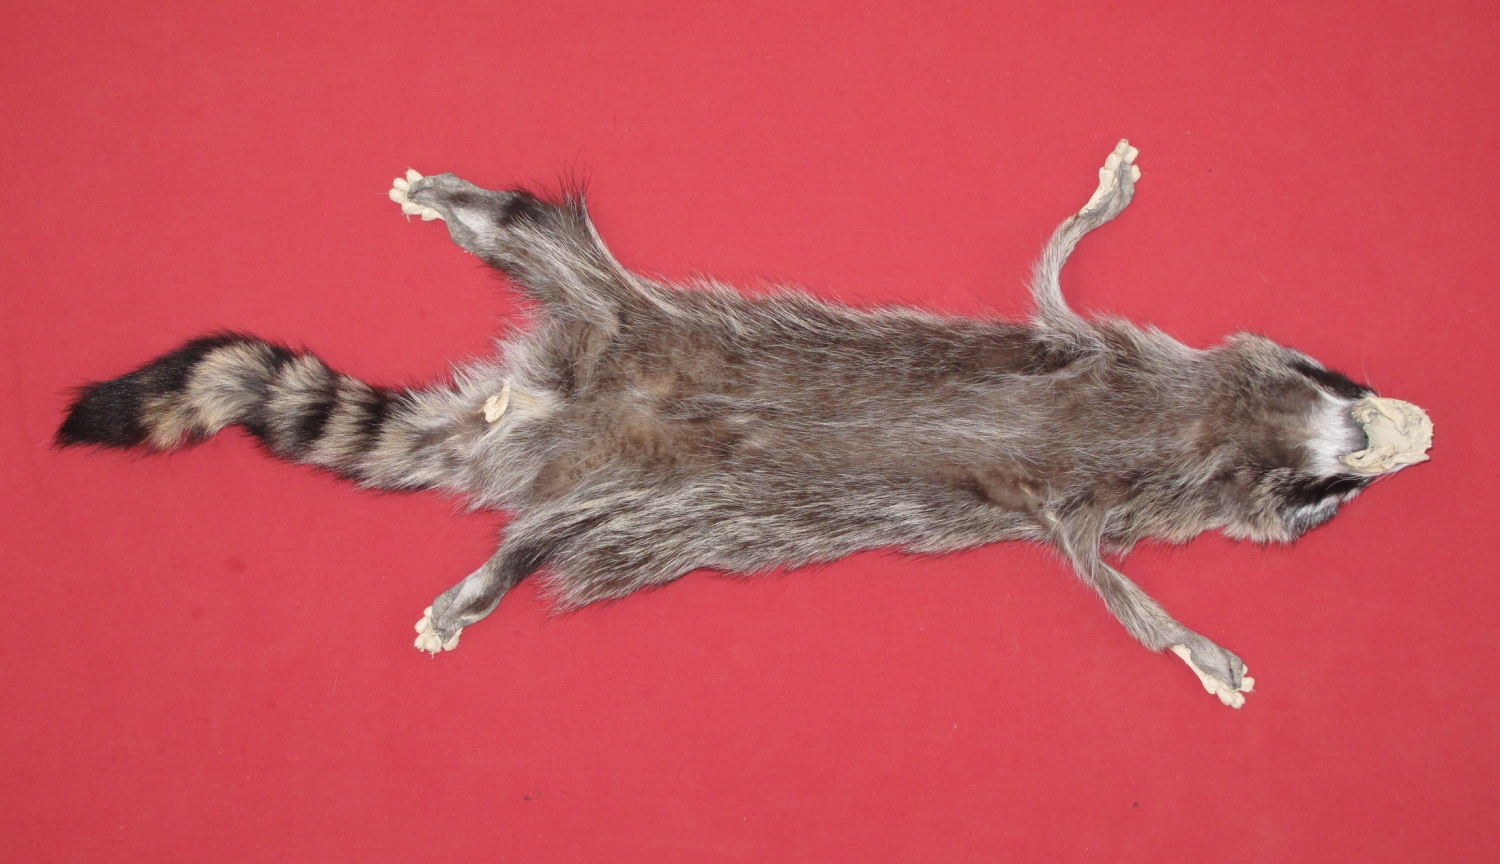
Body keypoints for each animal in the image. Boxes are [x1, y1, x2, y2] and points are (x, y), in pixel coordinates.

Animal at [57, 141, 1432, 707]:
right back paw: (473, 213)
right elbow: (1058, 267)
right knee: (544, 240)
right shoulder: (1082, 368)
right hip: (620, 320)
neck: (1195, 421)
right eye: (1331, 493)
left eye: (1335, 393)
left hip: (626, 500)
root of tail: (536, 409)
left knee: (548, 532)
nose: (1415, 431)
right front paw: (1194, 646)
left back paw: (499, 560)